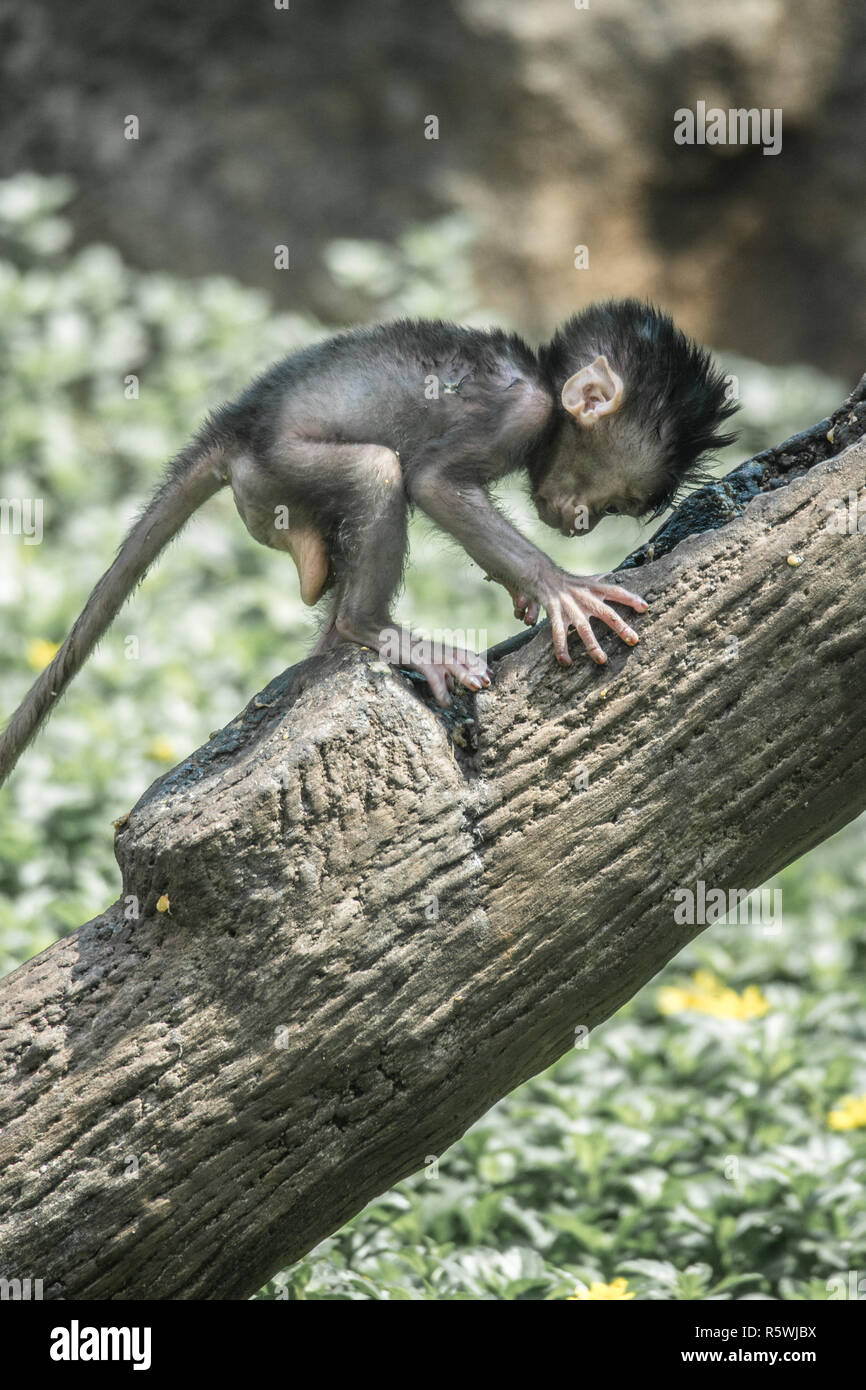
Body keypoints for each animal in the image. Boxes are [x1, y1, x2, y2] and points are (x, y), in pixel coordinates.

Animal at [0, 298, 737, 786]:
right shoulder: (521, 412)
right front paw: (563, 590)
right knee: (379, 471)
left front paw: (531, 596)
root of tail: (240, 424)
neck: (542, 381)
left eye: (619, 508)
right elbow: (434, 483)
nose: (581, 524)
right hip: (281, 462)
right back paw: (372, 630)